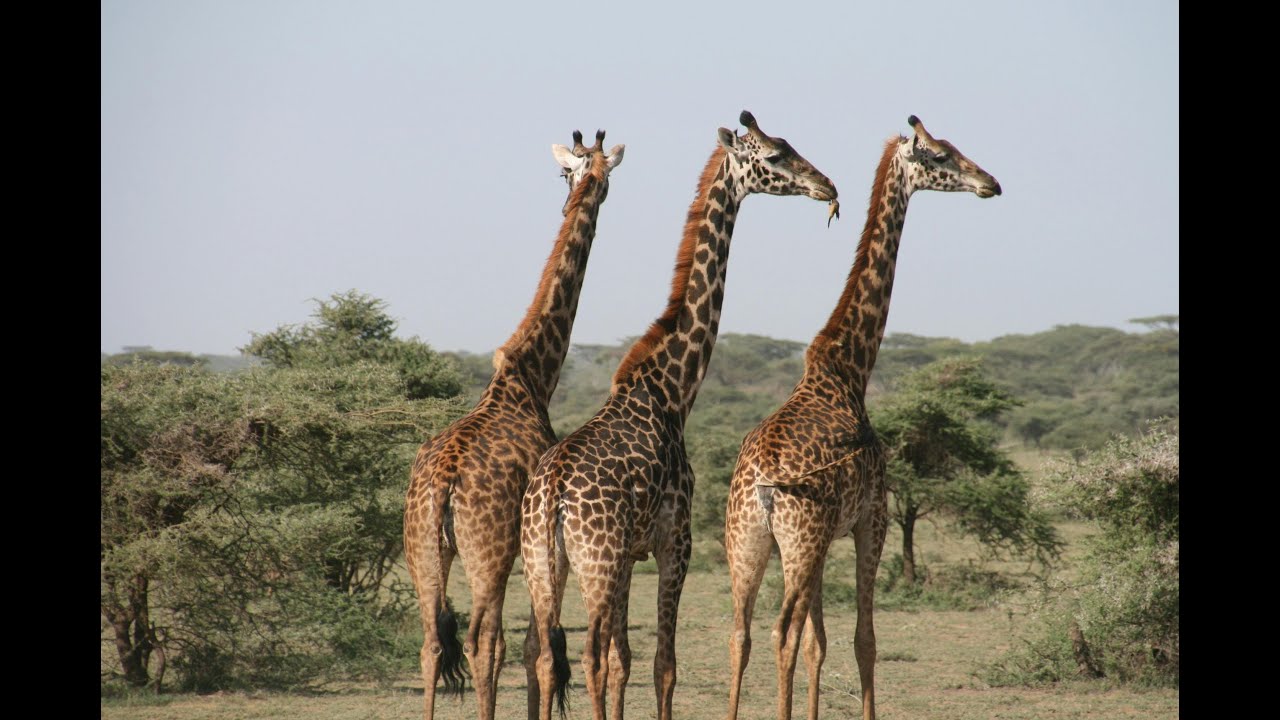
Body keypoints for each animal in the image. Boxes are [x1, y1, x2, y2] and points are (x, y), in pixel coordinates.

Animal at [403, 129, 624, 720]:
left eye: (572, 172)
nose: (583, 194)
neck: (532, 377)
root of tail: (443, 483)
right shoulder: (534, 550)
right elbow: (533, 646)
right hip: (488, 554)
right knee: (484, 641)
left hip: (421, 550)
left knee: (430, 642)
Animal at [520, 111, 838, 720]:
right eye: (776, 154)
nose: (828, 186)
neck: (672, 389)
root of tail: (551, 495)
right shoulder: (677, 540)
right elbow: (662, 664)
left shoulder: (630, 555)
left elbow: (625, 660)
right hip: (594, 564)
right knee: (587, 657)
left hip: (545, 566)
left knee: (547, 656)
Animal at [723, 115, 1002, 720]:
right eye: (941, 155)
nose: (990, 182)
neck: (850, 369)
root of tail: (762, 486)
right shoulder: (871, 519)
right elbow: (862, 639)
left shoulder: (830, 534)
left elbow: (820, 643)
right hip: (798, 541)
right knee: (781, 633)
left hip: (747, 543)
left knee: (741, 635)